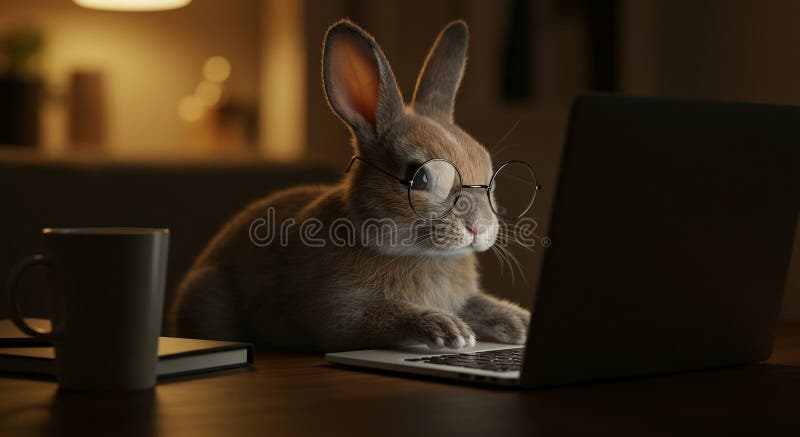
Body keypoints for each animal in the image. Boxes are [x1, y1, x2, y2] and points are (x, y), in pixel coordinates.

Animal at [169, 19, 531, 352]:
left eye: (488, 171)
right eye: (421, 178)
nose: (479, 228)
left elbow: (478, 304)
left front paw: (520, 322)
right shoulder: (340, 310)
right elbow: (379, 317)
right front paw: (446, 328)